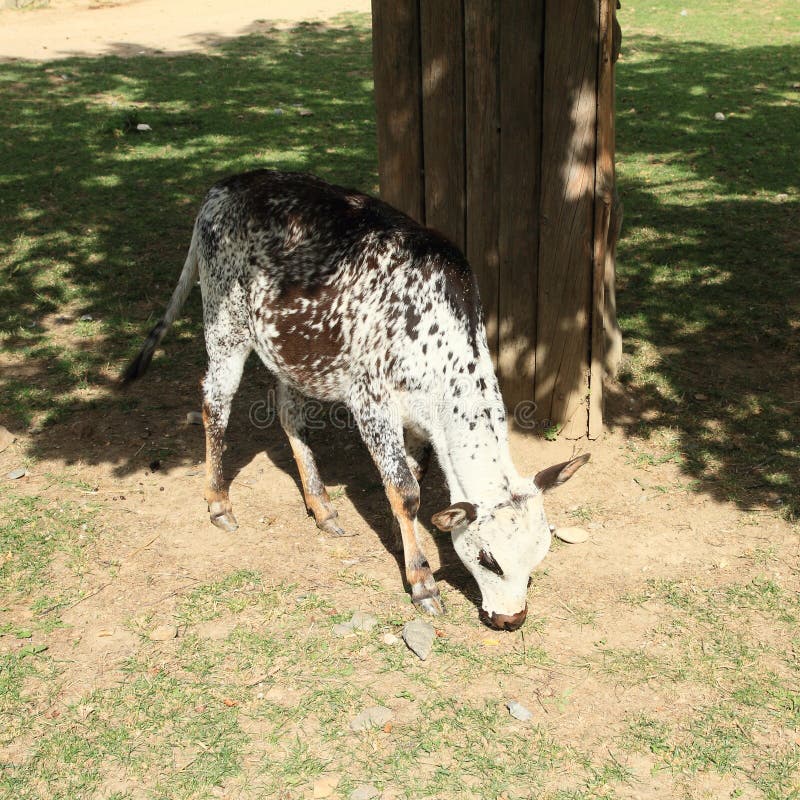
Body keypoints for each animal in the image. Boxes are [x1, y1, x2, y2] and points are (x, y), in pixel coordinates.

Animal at [122, 170, 589, 631]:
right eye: (488, 559)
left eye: (539, 555)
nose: (512, 619)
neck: (436, 338)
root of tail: (227, 186)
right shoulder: (371, 404)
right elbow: (405, 491)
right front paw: (421, 581)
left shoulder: (417, 421)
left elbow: (414, 476)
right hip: (225, 326)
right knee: (215, 406)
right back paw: (219, 502)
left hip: (292, 351)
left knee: (289, 415)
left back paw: (322, 506)